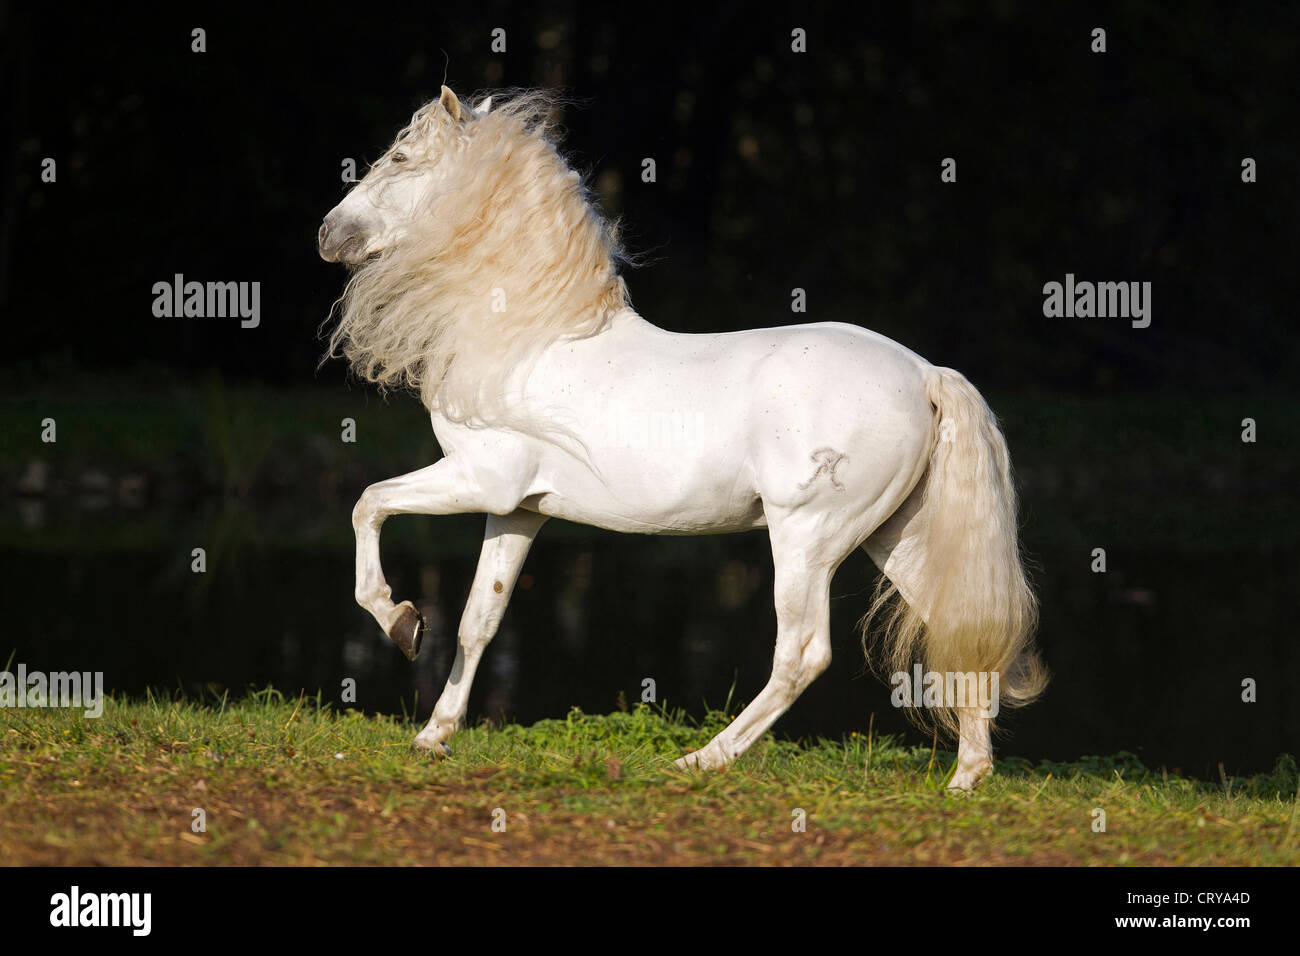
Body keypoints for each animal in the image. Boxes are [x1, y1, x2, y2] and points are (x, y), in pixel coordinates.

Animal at [318, 86, 1047, 790]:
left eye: (401, 159)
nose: (328, 232)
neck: (530, 339)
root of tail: (925, 373)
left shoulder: (477, 480)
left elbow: (366, 504)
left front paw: (401, 623)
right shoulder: (517, 511)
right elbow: (478, 623)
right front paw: (433, 737)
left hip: (806, 539)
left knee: (802, 654)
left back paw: (703, 760)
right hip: (896, 537)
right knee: (958, 630)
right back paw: (966, 779)